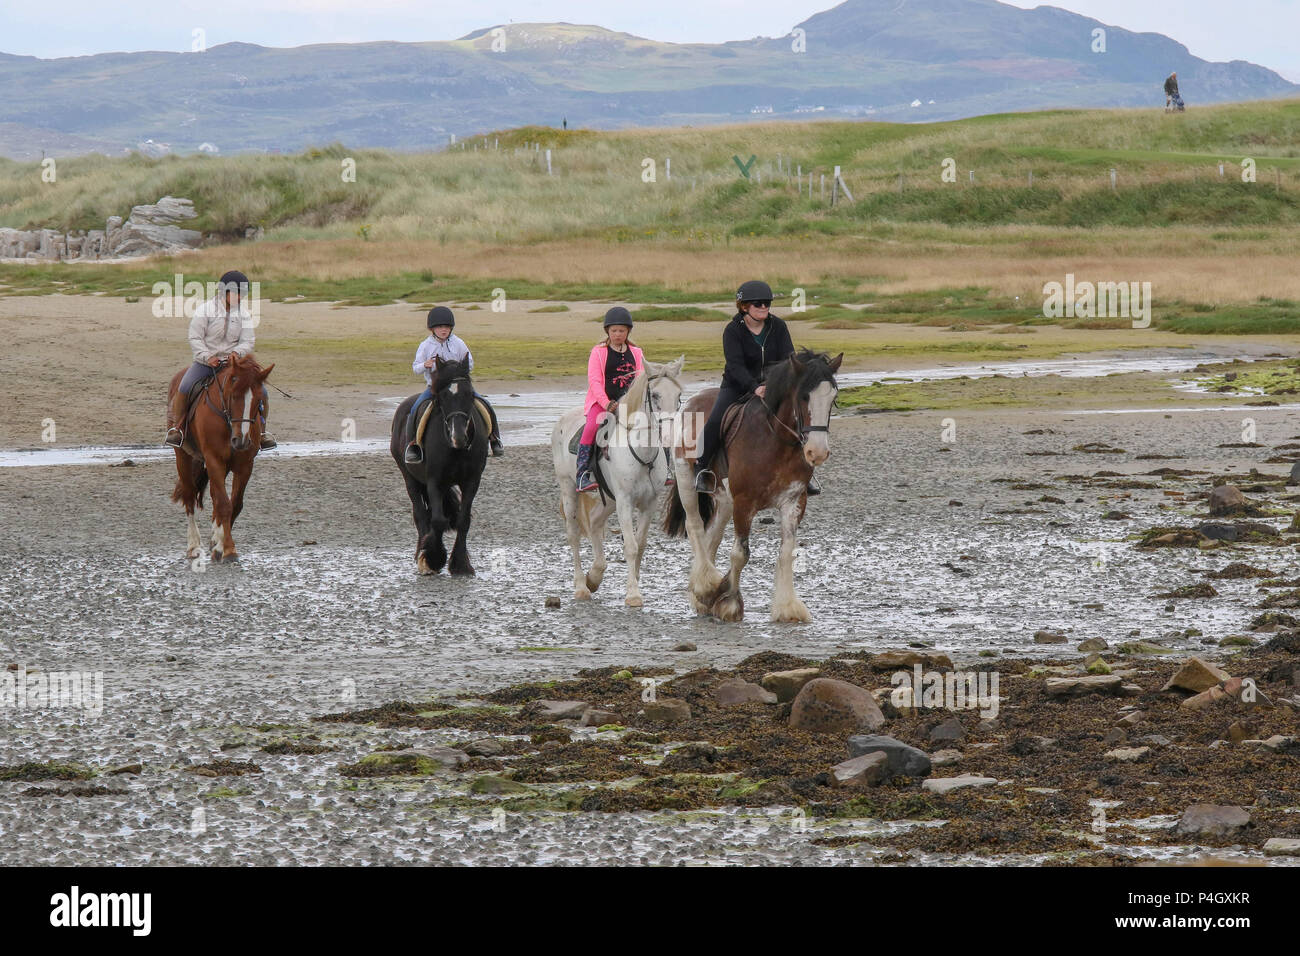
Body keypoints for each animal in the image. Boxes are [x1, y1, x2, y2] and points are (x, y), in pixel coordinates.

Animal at [168, 352, 275, 563]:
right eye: (233, 395)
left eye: (258, 400)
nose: (241, 440)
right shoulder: (214, 459)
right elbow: (224, 504)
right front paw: (229, 550)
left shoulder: (245, 464)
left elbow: (234, 504)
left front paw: (220, 546)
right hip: (183, 457)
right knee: (189, 495)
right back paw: (193, 546)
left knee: (214, 498)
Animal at [390, 356, 489, 575]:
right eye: (443, 395)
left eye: (469, 393)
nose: (458, 437)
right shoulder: (434, 481)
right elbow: (437, 520)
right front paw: (432, 559)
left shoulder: (472, 481)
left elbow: (463, 520)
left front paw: (461, 564)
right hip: (410, 479)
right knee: (420, 515)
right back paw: (420, 555)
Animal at [550, 356, 685, 606]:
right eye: (655, 395)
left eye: (679, 395)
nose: (669, 434)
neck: (642, 452)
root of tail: (563, 420)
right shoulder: (625, 501)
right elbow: (630, 546)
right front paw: (633, 594)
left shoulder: (649, 503)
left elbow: (640, 544)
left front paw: (635, 582)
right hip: (570, 489)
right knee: (574, 534)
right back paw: (581, 587)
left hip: (609, 499)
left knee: (594, 521)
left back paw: (594, 576)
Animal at [663, 349, 842, 623]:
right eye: (804, 396)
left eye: (833, 398)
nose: (817, 452)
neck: (777, 441)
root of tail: (693, 400)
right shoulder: (745, 503)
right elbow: (741, 554)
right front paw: (729, 603)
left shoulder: (794, 501)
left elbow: (786, 551)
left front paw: (787, 607)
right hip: (686, 480)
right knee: (695, 527)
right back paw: (705, 585)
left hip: (725, 499)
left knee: (712, 536)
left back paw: (705, 594)